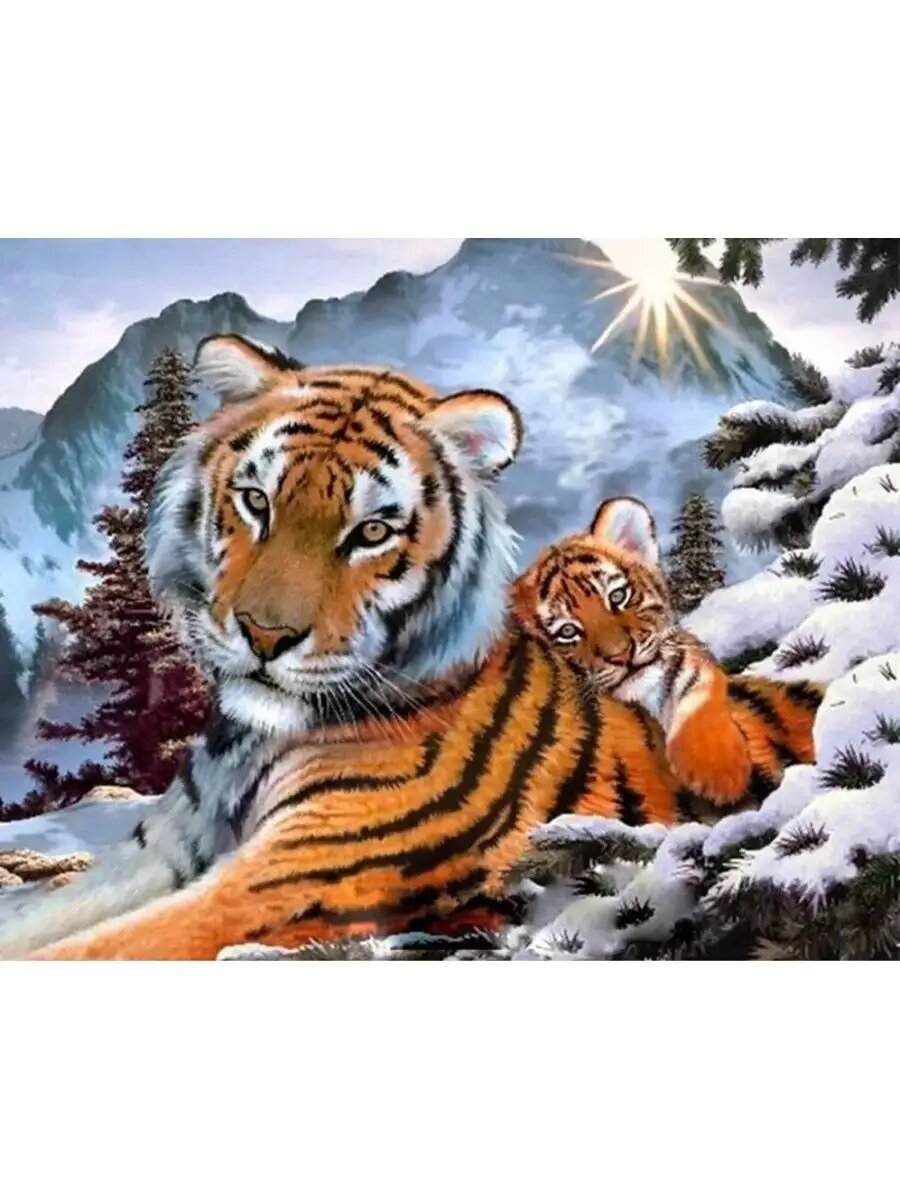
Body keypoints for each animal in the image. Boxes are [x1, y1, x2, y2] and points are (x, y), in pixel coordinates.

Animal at [0, 336, 684, 961]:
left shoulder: (288, 878)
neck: (250, 747)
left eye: (372, 532)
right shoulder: (165, 846)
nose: (264, 634)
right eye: (257, 501)